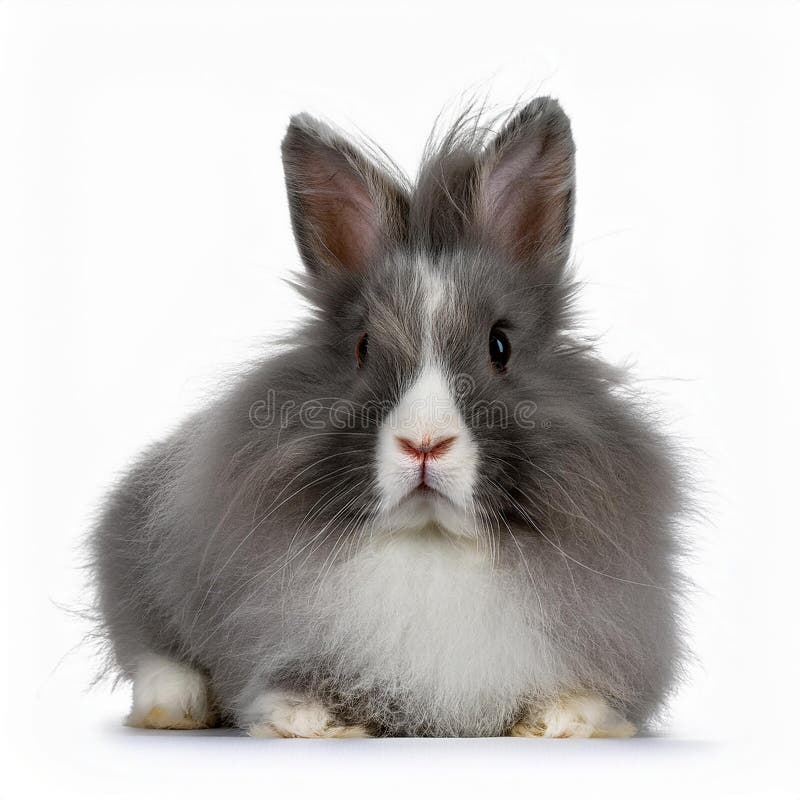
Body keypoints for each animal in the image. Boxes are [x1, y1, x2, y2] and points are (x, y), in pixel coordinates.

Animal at [91, 97, 687, 738]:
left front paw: (564, 720)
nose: (424, 444)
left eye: (500, 345)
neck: (430, 541)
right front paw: (308, 719)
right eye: (362, 348)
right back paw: (173, 708)